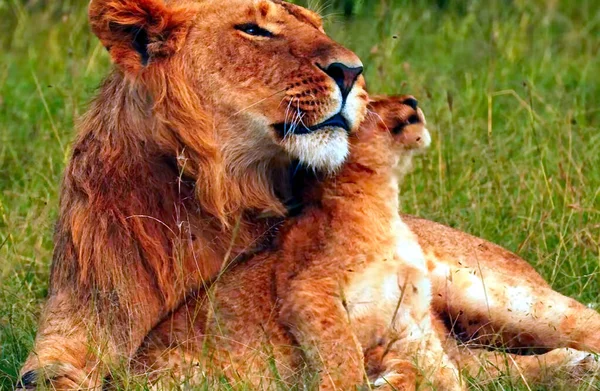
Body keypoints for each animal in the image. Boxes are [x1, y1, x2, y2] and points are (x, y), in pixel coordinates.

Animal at [126, 95, 462, 391]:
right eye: (370, 103)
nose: (412, 101)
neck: (384, 201)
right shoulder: (308, 291)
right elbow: (343, 355)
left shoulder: (411, 320)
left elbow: (444, 370)